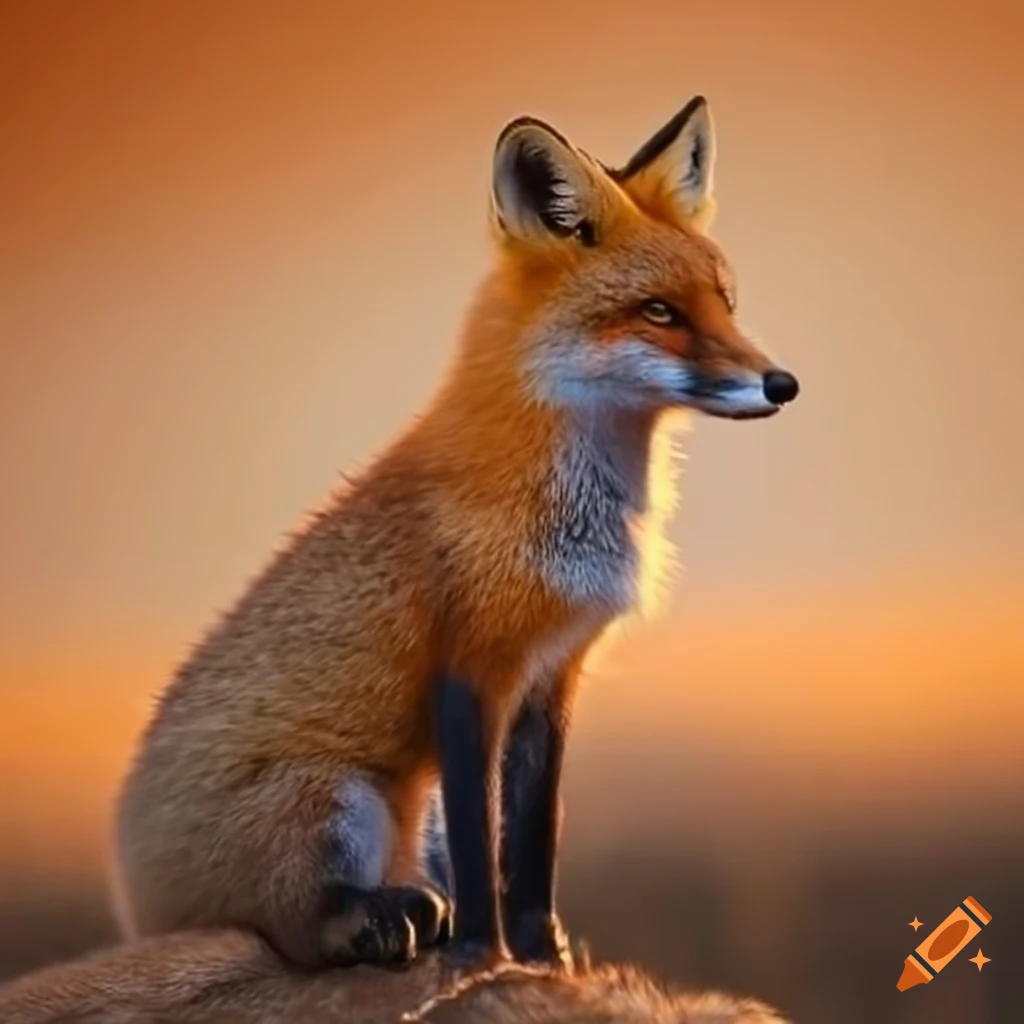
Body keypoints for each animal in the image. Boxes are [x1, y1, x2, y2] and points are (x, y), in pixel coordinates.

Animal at [79, 92, 801, 987]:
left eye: (724, 303)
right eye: (659, 312)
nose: (782, 383)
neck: (566, 511)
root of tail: (133, 895)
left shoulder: (552, 678)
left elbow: (530, 844)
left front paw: (541, 958)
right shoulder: (467, 669)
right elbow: (478, 837)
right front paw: (480, 957)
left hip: (398, 810)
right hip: (342, 797)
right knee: (294, 931)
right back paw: (381, 923)